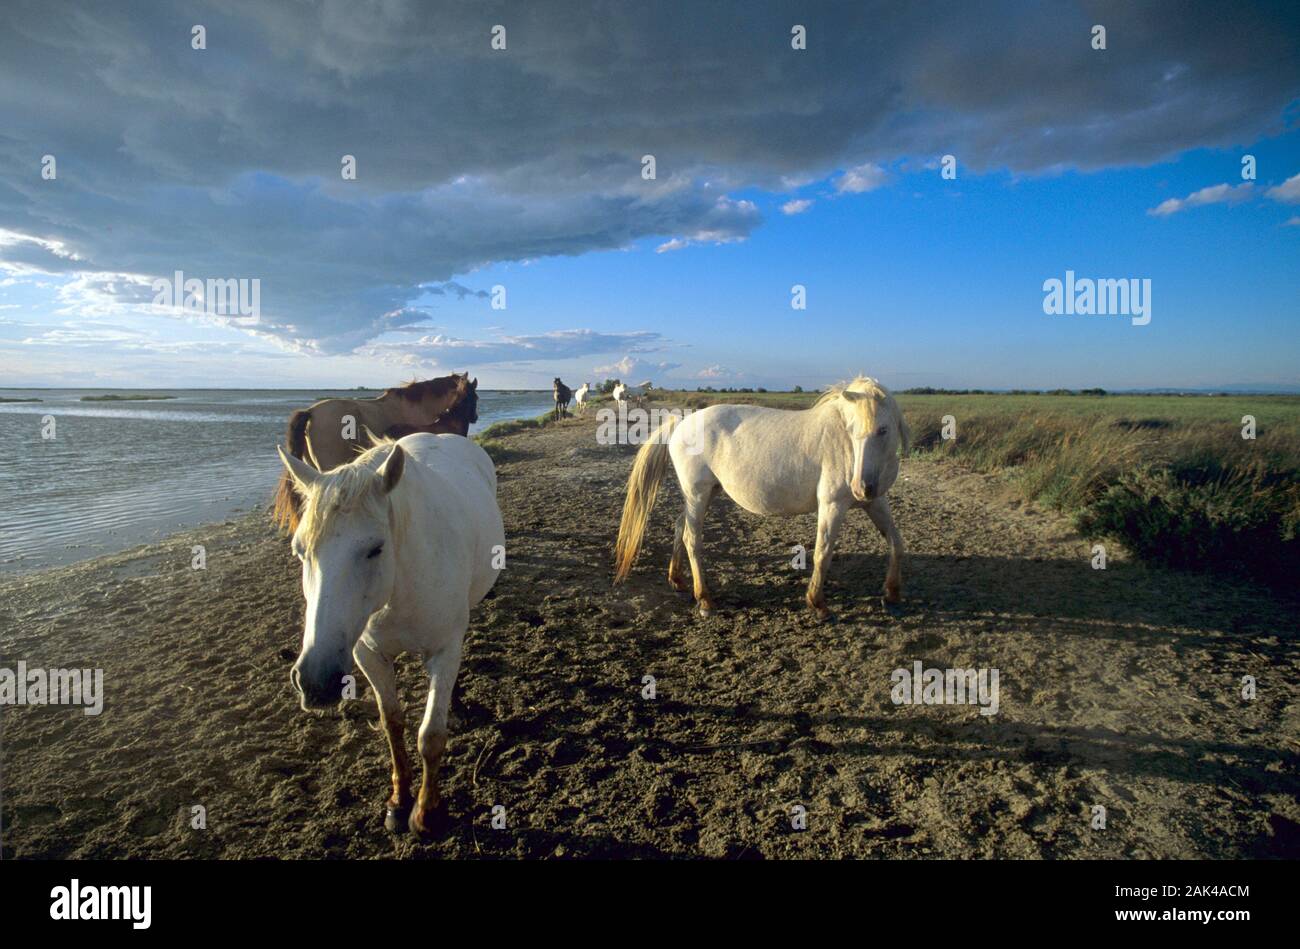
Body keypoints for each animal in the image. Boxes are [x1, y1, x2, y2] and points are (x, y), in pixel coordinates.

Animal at [278, 433, 504, 835]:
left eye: (375, 548)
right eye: (299, 551)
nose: (316, 680)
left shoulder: (444, 650)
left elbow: (431, 735)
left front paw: (427, 813)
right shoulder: (367, 655)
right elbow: (392, 724)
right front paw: (399, 802)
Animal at [614, 376, 910, 621]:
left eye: (883, 429)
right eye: (851, 429)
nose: (861, 487)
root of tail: (680, 425)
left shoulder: (876, 502)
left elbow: (896, 542)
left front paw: (892, 595)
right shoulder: (832, 504)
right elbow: (823, 553)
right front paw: (818, 604)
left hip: (706, 494)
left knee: (679, 527)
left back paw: (677, 580)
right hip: (697, 494)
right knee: (691, 538)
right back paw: (705, 600)